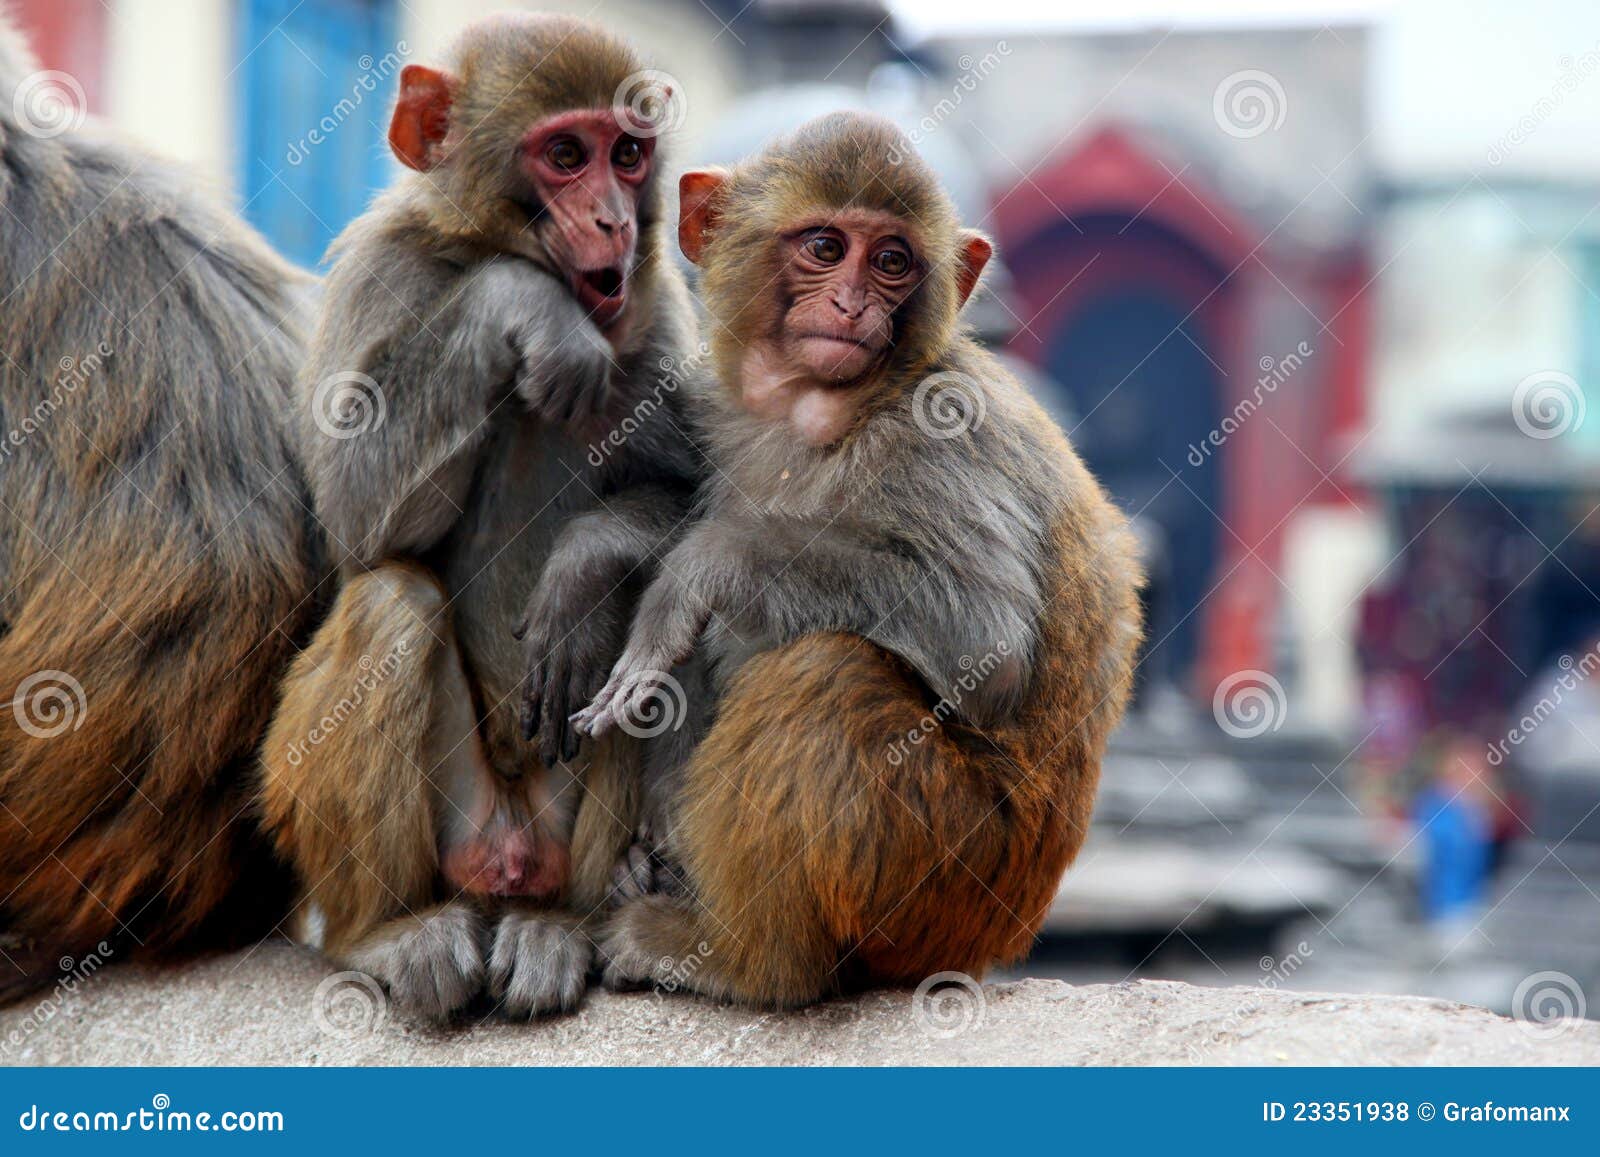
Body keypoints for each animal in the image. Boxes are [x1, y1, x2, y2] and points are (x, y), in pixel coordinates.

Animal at [257, 13, 702, 1021]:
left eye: (627, 154)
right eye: (566, 155)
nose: (615, 220)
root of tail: (508, 854)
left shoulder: (658, 304)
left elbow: (710, 503)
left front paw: (584, 566)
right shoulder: (382, 275)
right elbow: (356, 520)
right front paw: (523, 304)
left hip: (560, 824)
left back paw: (562, 926)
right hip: (427, 827)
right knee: (395, 602)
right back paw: (388, 932)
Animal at [561, 111, 1144, 1009]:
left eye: (893, 261)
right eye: (827, 246)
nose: (851, 302)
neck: (828, 410)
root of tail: (1006, 929)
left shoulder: (946, 436)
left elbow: (984, 640)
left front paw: (698, 572)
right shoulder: (707, 407)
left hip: (946, 879)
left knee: (824, 675)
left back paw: (744, 959)